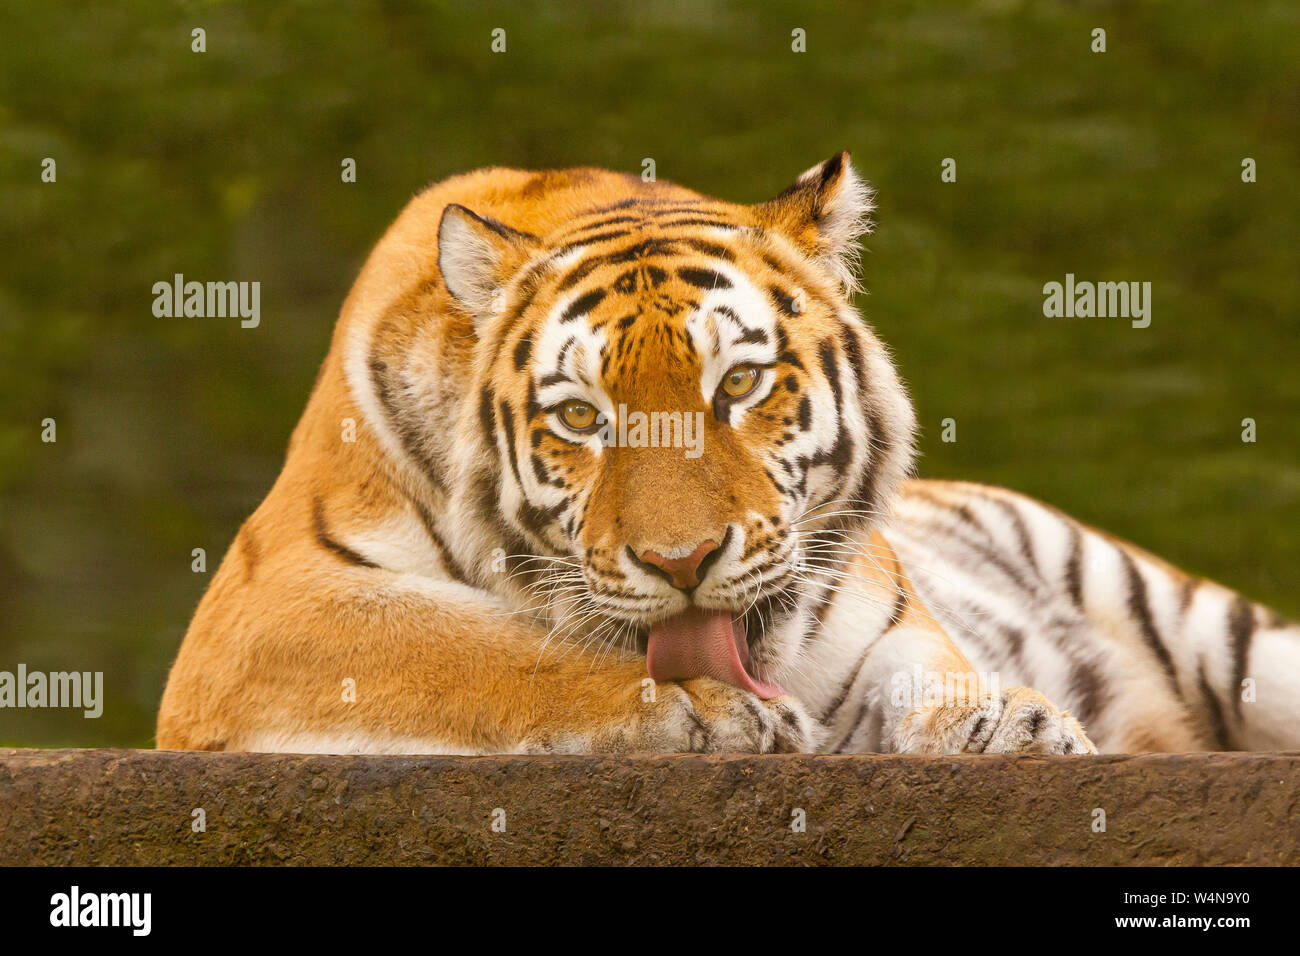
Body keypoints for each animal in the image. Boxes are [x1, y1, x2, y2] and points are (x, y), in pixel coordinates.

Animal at [156, 153, 1300, 755]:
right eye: (583, 418)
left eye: (739, 386)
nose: (683, 562)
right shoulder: (272, 609)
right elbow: (483, 649)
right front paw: (711, 708)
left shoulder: (882, 614)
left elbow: (933, 672)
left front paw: (1005, 725)